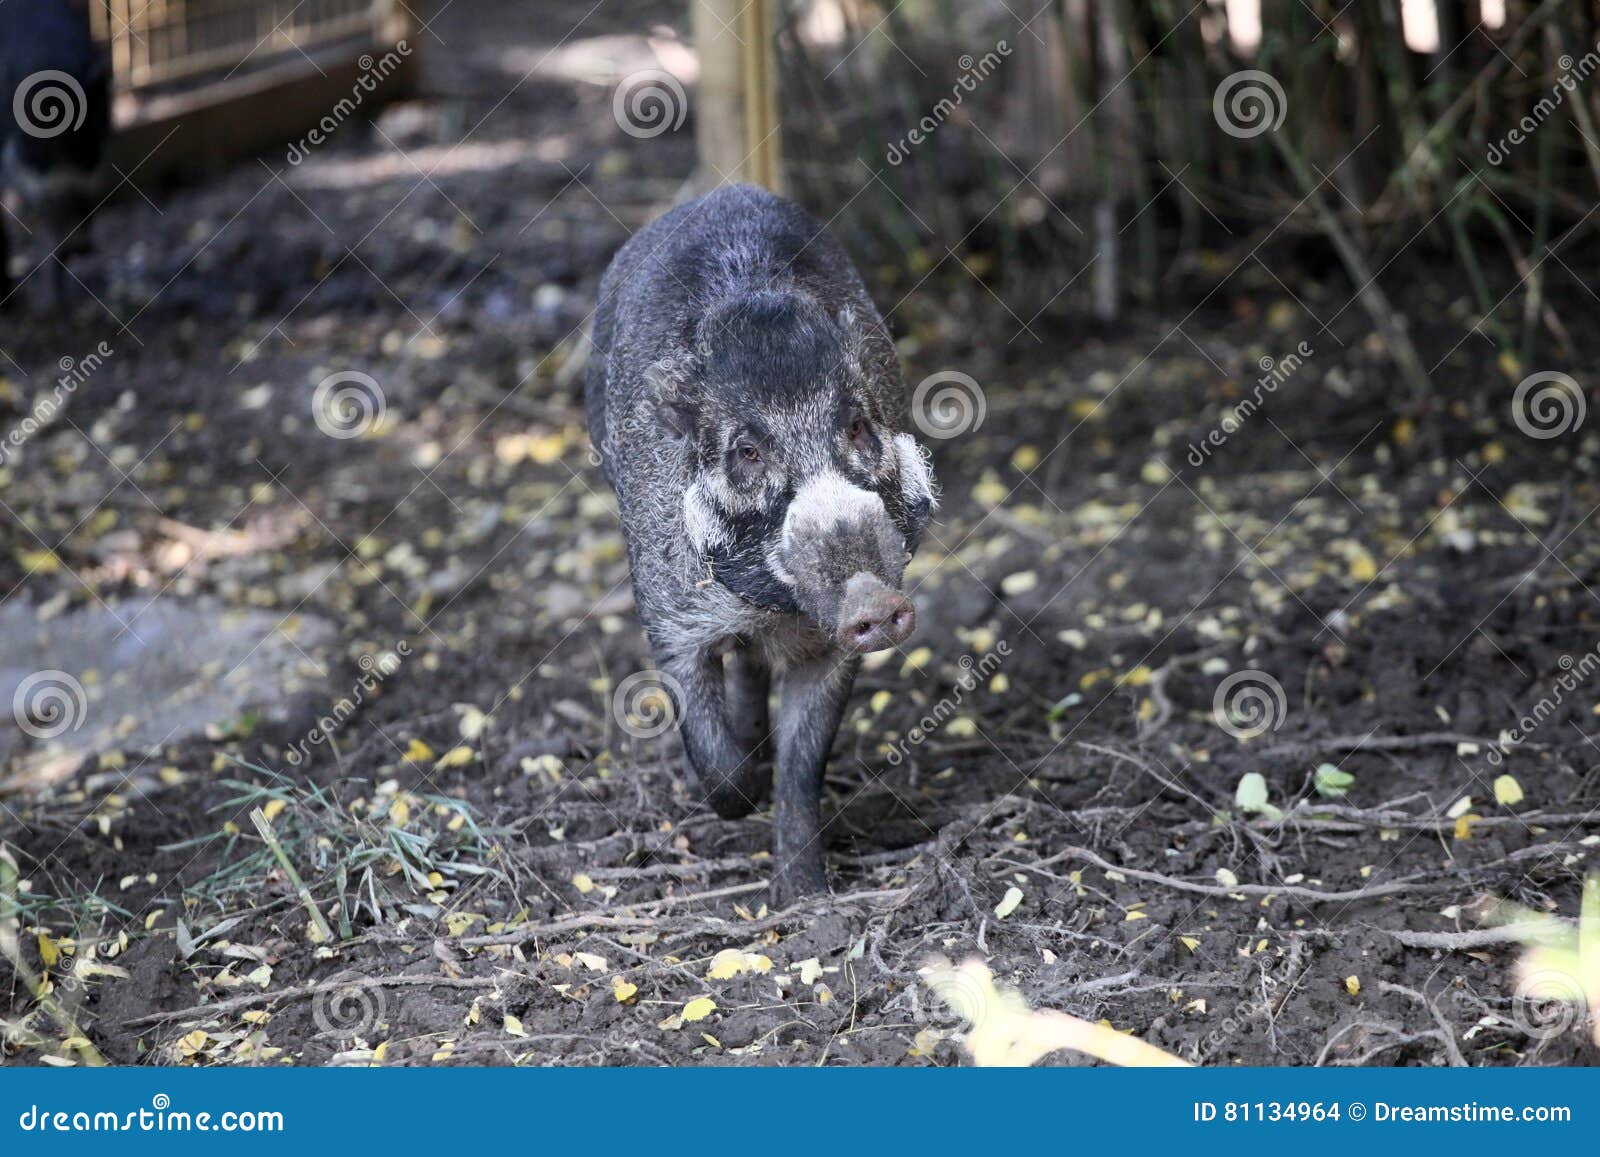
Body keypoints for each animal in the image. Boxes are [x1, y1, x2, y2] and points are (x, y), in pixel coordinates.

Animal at [587, 183, 937, 902]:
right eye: (747, 451)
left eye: (858, 425)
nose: (872, 600)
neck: (775, 607)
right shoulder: (671, 620)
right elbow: (708, 745)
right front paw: (741, 798)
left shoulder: (831, 647)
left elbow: (804, 769)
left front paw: (805, 899)